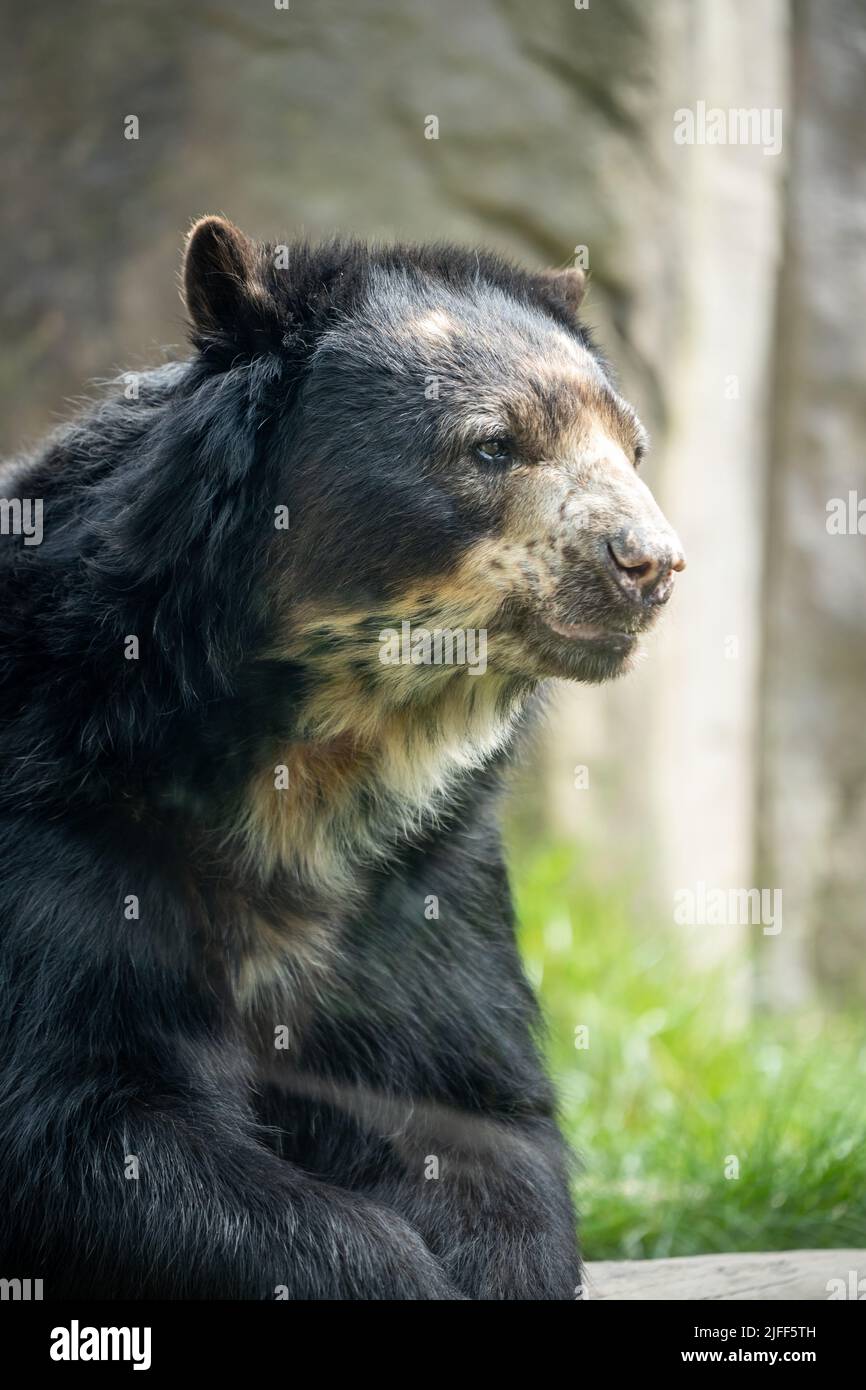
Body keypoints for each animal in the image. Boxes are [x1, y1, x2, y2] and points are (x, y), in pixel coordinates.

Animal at [0, 217, 685, 1300]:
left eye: (632, 447)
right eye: (493, 445)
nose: (647, 563)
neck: (318, 762)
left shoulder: (425, 879)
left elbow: (476, 1115)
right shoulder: (65, 826)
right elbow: (81, 1109)